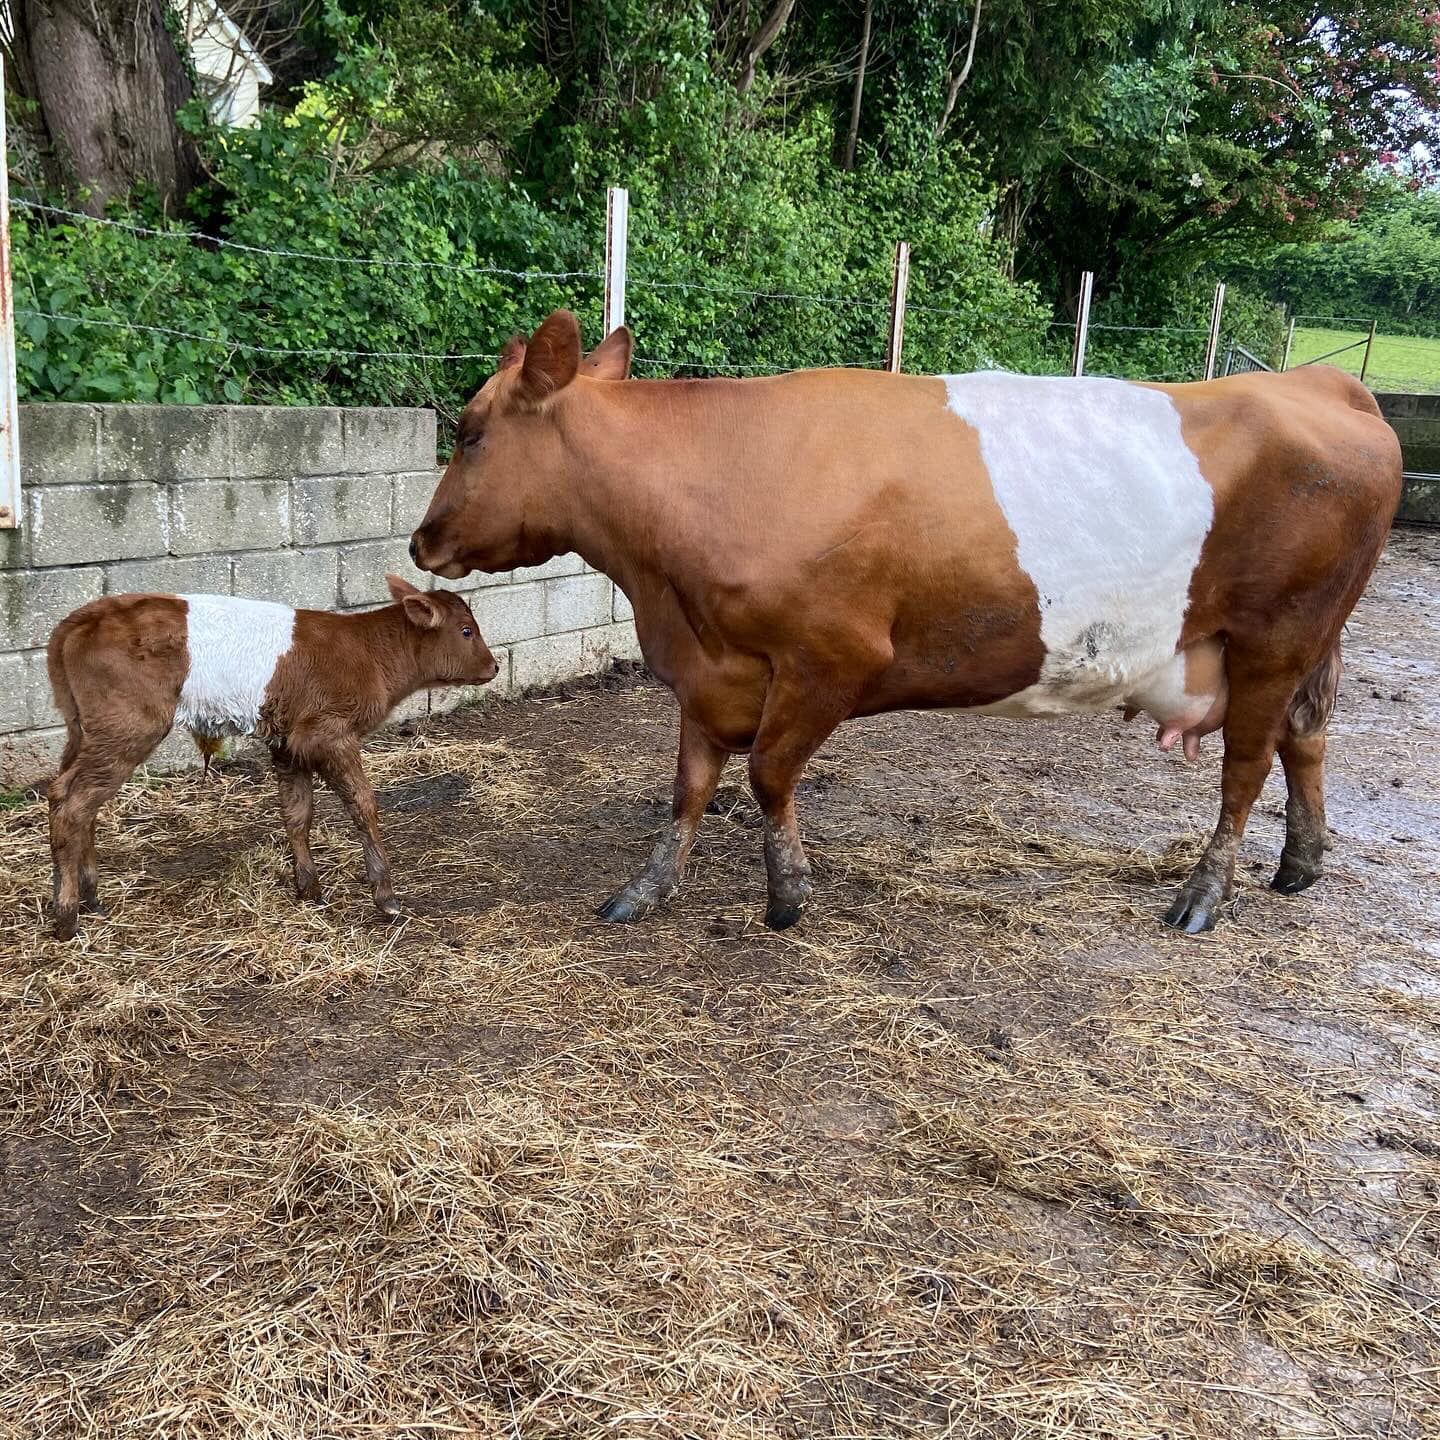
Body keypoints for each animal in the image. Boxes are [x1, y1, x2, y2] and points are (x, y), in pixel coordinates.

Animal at [44, 577, 499, 939]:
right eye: (466, 631)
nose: (494, 667)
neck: (369, 651)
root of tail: (82, 617)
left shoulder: (286, 741)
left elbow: (297, 813)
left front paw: (309, 890)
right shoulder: (330, 733)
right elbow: (363, 806)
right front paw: (385, 896)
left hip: (83, 727)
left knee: (66, 794)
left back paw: (88, 898)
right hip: (129, 725)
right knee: (73, 804)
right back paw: (68, 917)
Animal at [409, 310, 1402, 934]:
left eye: (469, 430)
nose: (421, 539)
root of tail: (1322, 385)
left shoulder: (832, 656)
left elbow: (767, 772)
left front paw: (787, 892)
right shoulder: (705, 665)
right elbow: (689, 784)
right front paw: (646, 889)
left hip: (1275, 638)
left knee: (1246, 767)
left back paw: (1205, 894)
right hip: (1294, 648)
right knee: (1305, 741)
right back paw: (1301, 864)